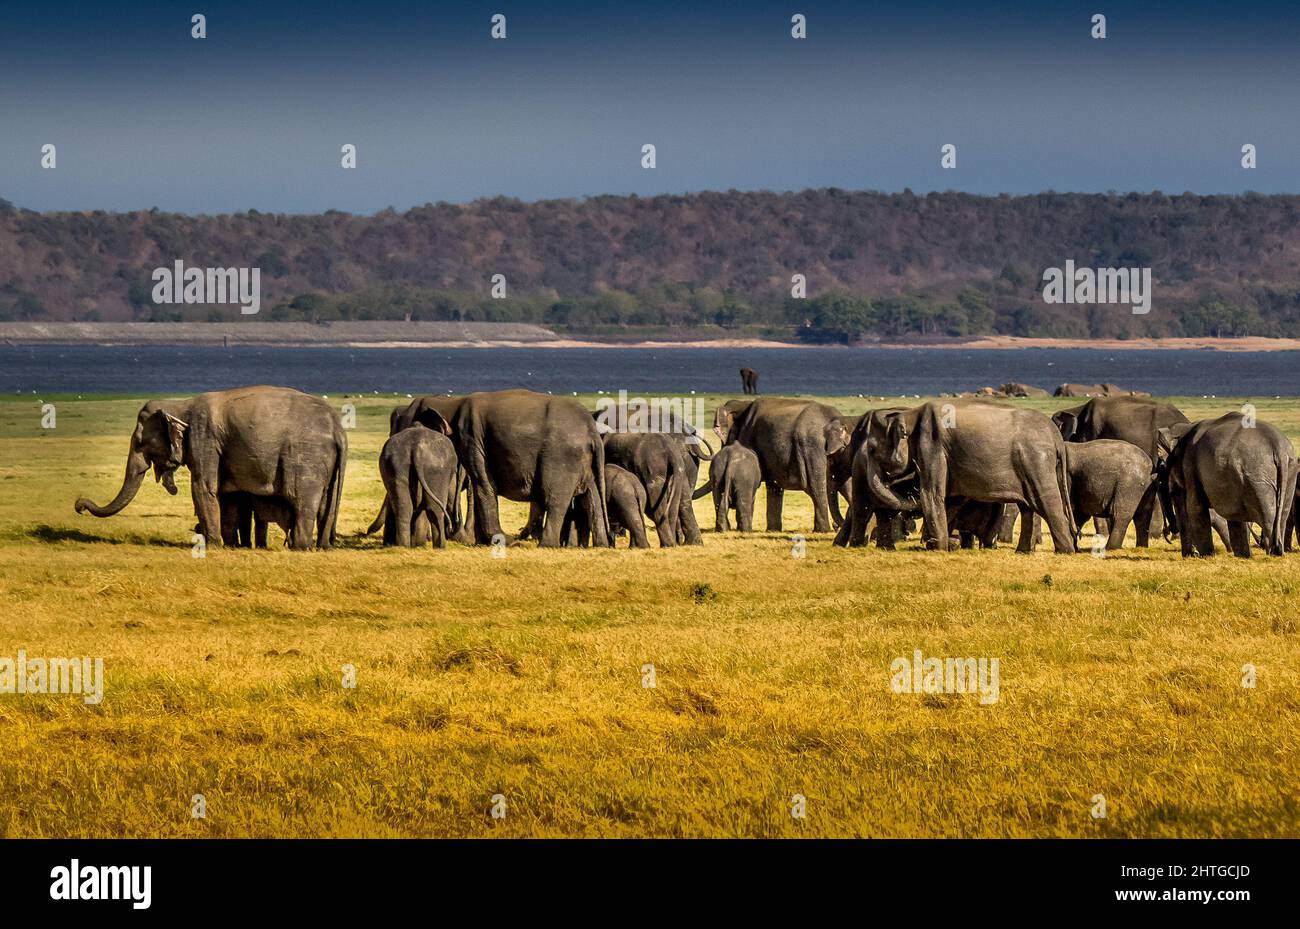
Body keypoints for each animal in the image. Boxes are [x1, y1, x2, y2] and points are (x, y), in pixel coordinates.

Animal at [75, 386, 347, 550]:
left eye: (141, 442)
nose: (79, 506)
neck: (181, 405)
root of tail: (338, 429)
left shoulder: (203, 436)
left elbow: (203, 488)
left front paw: (213, 545)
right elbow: (228, 496)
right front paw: (231, 545)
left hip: (306, 459)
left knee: (303, 502)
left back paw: (299, 548)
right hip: (328, 465)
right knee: (326, 504)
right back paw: (322, 547)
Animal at [713, 397, 848, 533]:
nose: (836, 526)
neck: (743, 404)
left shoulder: (747, 436)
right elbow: (774, 486)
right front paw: (773, 530)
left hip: (812, 448)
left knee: (816, 486)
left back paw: (823, 530)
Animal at [859, 400, 1076, 553]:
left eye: (872, 450)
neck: (912, 413)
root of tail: (1056, 436)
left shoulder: (931, 445)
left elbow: (932, 493)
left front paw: (938, 547)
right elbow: (952, 499)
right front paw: (943, 544)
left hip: (1036, 460)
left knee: (1047, 502)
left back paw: (1065, 552)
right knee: (1028, 507)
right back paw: (1023, 552)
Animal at [1157, 413, 1298, 557]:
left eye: (1162, 464)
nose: (1192, 554)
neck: (1185, 428)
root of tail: (1279, 448)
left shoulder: (1190, 466)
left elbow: (1195, 507)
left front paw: (1206, 556)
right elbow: (1233, 513)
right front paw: (1243, 556)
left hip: (1258, 474)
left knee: (1267, 515)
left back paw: (1273, 552)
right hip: (1289, 470)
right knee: (1283, 514)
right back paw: (1278, 552)